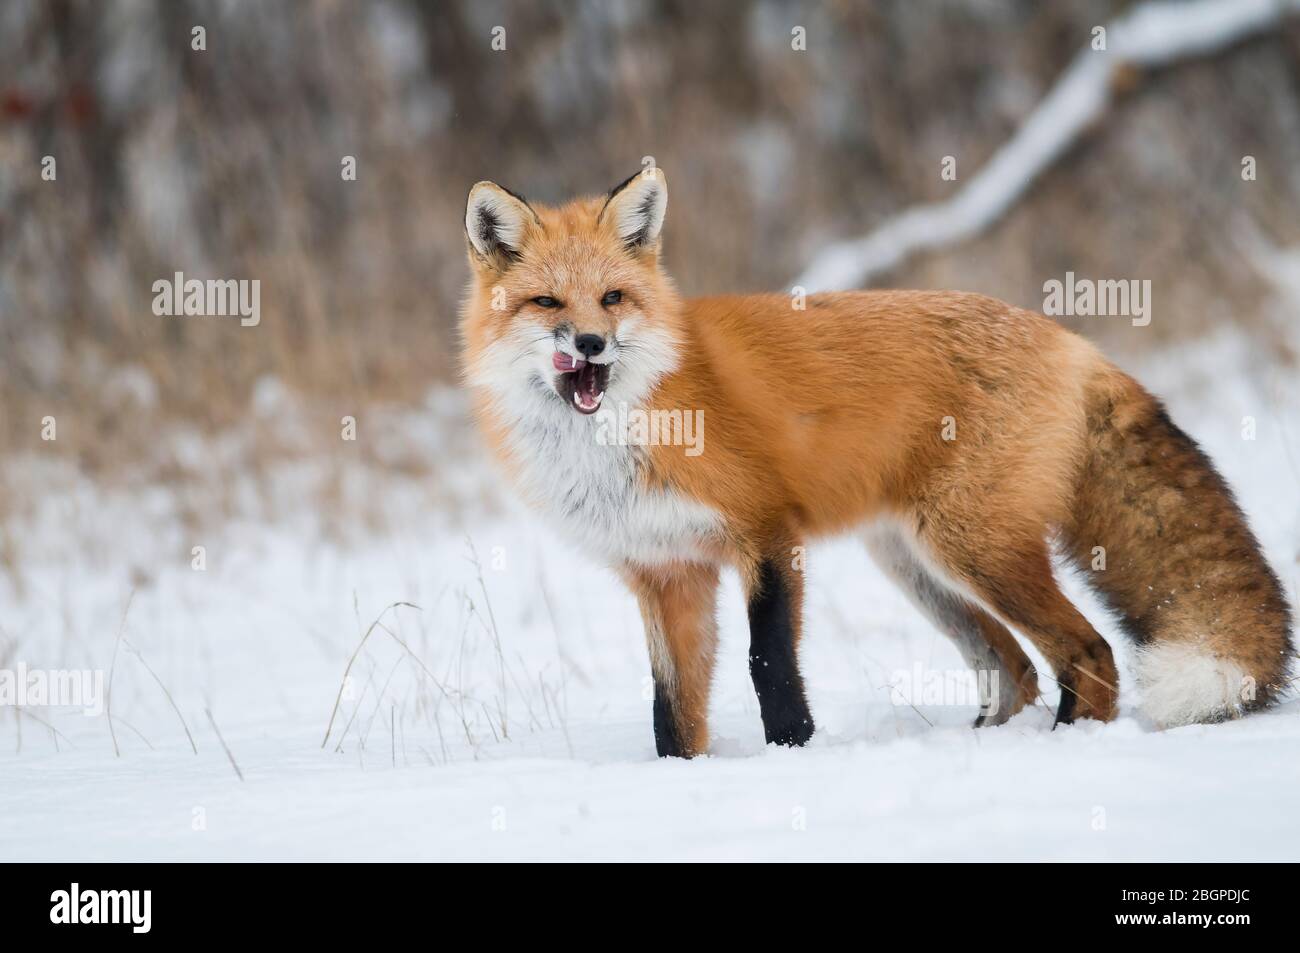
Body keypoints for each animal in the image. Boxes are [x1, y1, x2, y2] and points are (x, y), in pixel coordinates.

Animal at [459, 167, 1294, 758]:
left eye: (611, 298)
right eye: (547, 304)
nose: (590, 345)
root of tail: (1067, 337)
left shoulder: (768, 533)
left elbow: (770, 666)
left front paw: (793, 756)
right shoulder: (666, 572)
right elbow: (673, 711)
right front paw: (683, 775)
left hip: (974, 549)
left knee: (1087, 653)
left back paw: (1062, 746)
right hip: (916, 564)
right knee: (1014, 668)